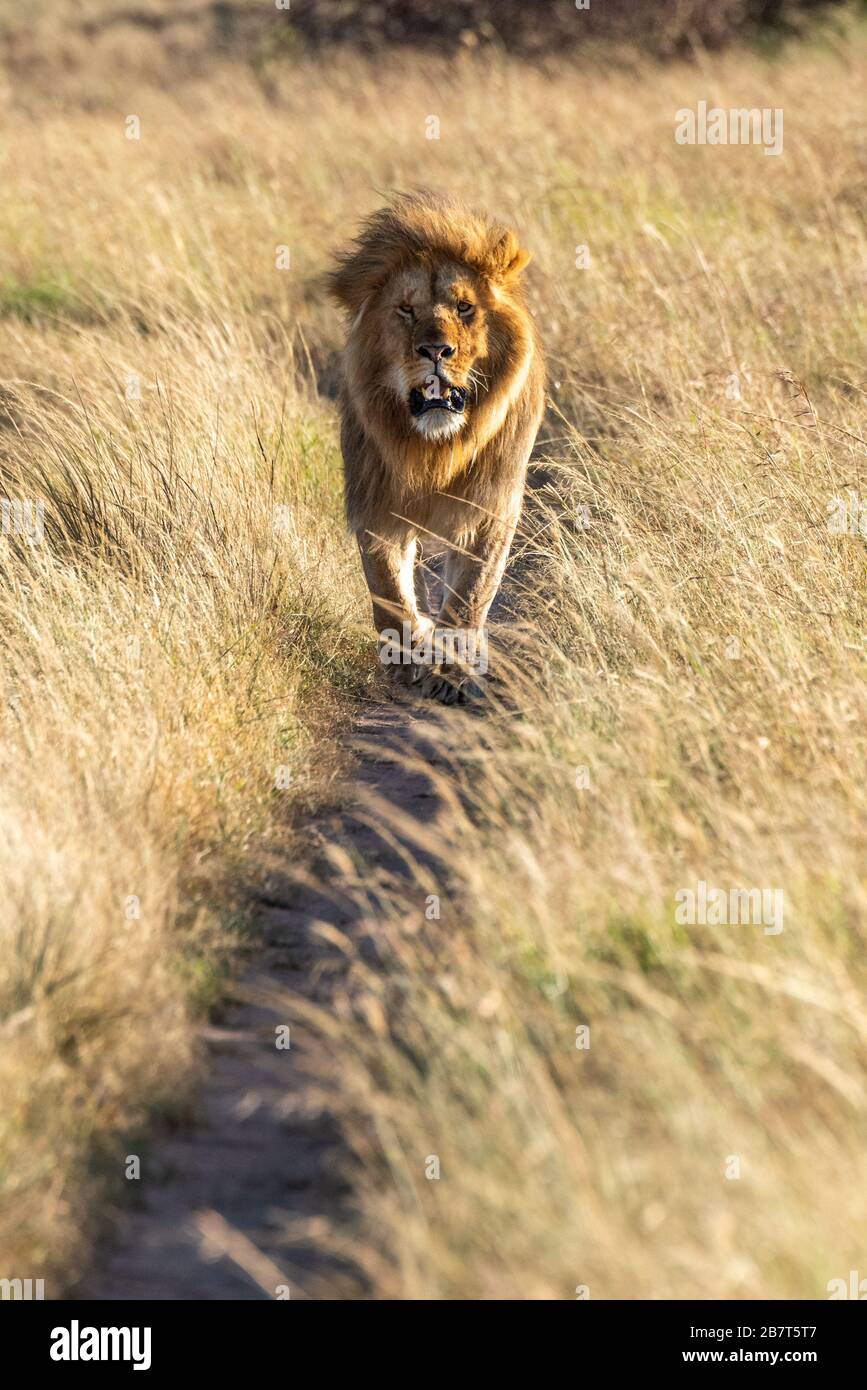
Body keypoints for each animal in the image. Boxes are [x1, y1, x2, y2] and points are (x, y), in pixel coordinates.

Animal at [328, 190, 545, 703]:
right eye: (406, 310)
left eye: (464, 307)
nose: (435, 351)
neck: (436, 447)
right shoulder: (375, 502)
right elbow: (388, 590)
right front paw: (407, 654)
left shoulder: (491, 506)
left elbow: (470, 595)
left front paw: (450, 673)